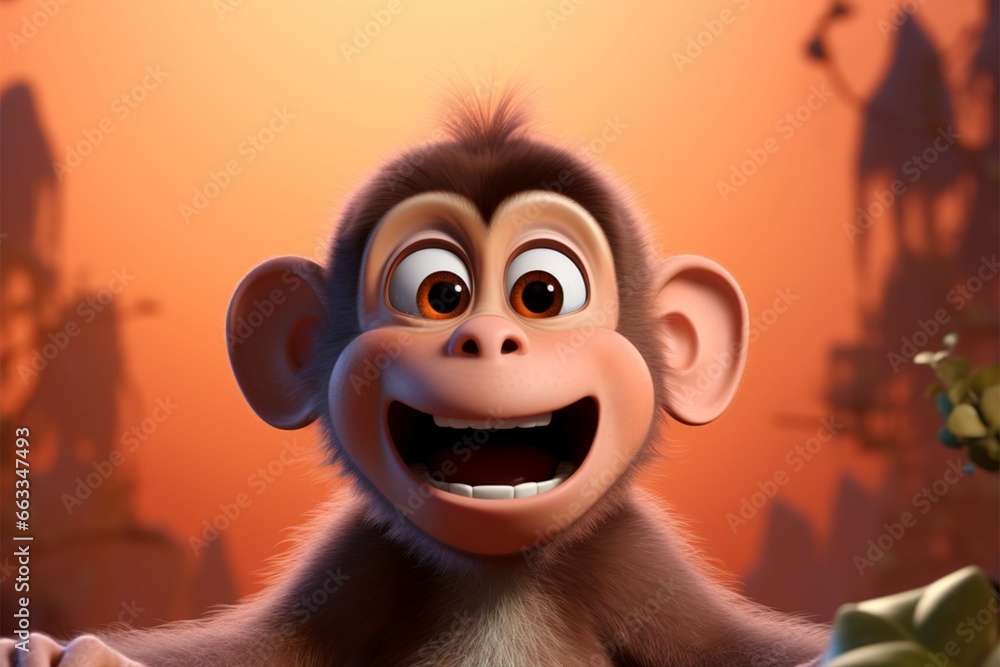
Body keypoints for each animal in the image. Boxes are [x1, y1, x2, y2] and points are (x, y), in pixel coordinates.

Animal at [2, 92, 830, 667]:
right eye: (440, 294)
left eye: (543, 293)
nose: (485, 338)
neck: (496, 580)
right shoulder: (355, 564)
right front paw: (66, 650)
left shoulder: (638, 565)